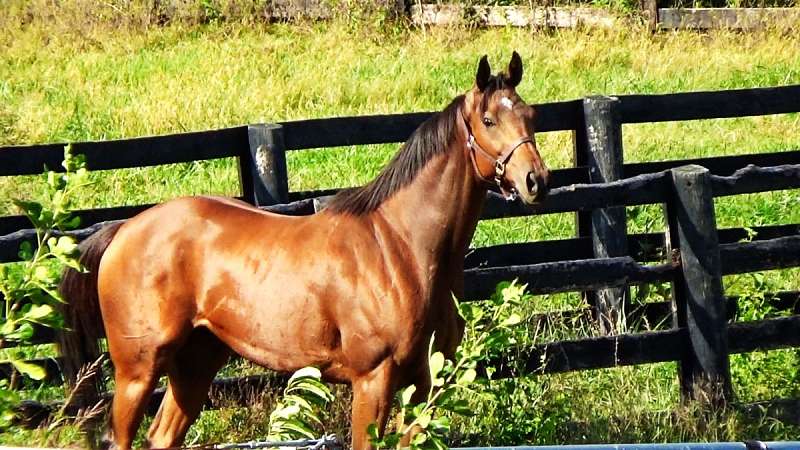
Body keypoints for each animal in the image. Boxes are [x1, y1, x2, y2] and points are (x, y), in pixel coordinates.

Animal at [58, 52, 550, 450]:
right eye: (489, 120)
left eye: (530, 115)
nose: (536, 181)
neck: (403, 248)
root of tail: (123, 230)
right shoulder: (373, 378)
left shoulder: (426, 381)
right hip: (137, 371)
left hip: (196, 361)